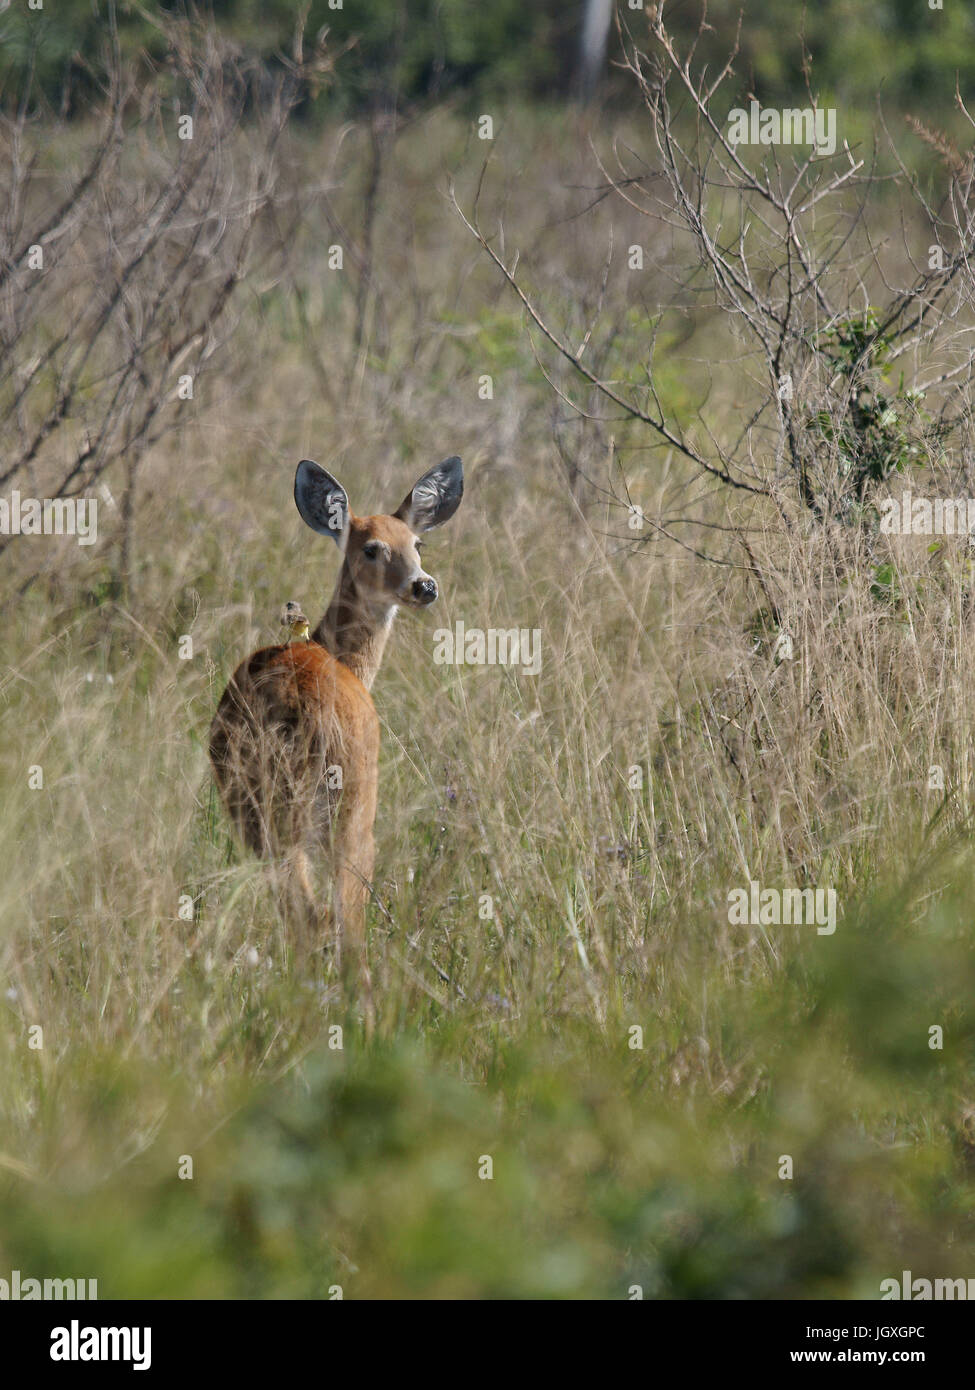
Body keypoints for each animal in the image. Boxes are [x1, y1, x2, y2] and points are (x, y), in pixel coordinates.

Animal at [209, 455, 463, 998]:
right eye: (370, 547)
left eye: (418, 543)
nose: (424, 586)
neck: (343, 658)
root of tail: (298, 709)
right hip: (352, 811)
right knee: (340, 924)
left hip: (256, 812)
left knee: (300, 912)